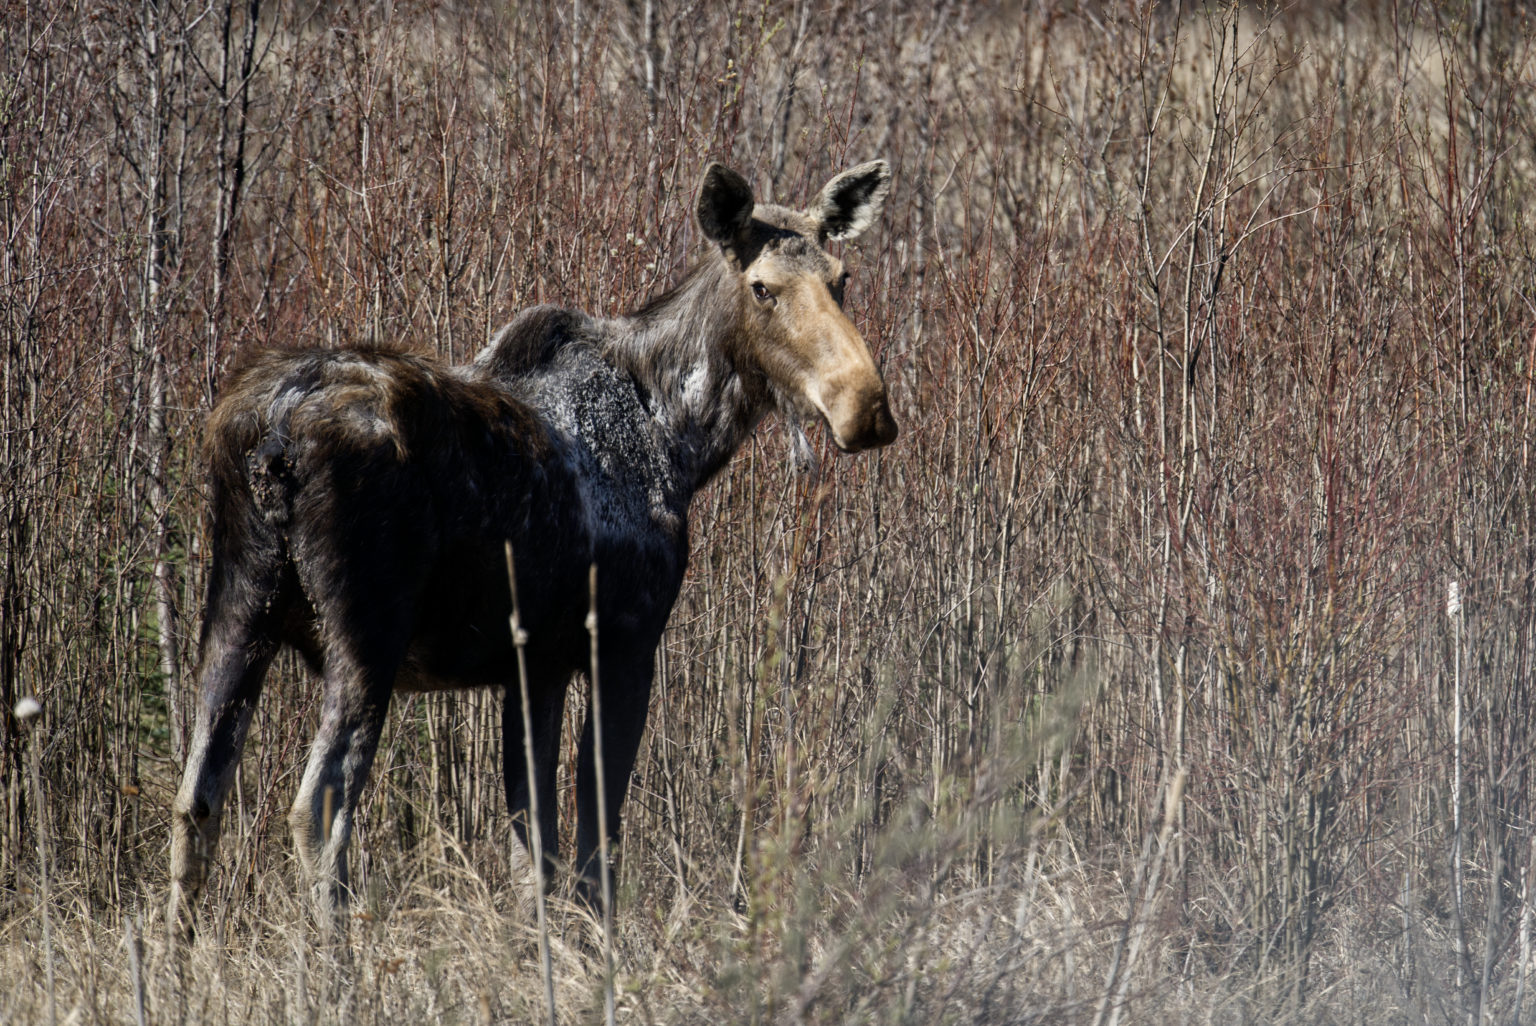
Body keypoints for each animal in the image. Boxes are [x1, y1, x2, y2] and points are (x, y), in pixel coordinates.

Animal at [168, 160, 897, 940]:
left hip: (238, 603)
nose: (866, 407)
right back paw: (337, 956)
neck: (682, 437)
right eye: (763, 286)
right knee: (319, 804)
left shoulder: (534, 666)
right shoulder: (625, 641)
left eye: (843, 277)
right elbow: (595, 834)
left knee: (197, 797)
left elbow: (532, 845)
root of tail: (272, 435)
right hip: (365, 632)